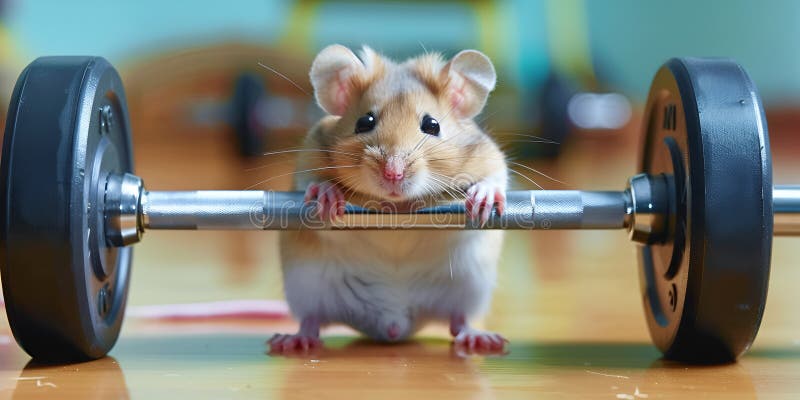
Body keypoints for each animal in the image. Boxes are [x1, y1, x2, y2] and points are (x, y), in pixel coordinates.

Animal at [270, 45, 509, 354]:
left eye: (432, 125)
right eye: (364, 122)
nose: (393, 173)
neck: (397, 203)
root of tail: (394, 324)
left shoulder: (490, 157)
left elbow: (495, 177)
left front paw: (482, 198)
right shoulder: (309, 156)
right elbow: (312, 184)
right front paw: (327, 197)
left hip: (470, 288)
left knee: (460, 321)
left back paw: (482, 341)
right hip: (307, 288)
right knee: (312, 320)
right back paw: (293, 341)